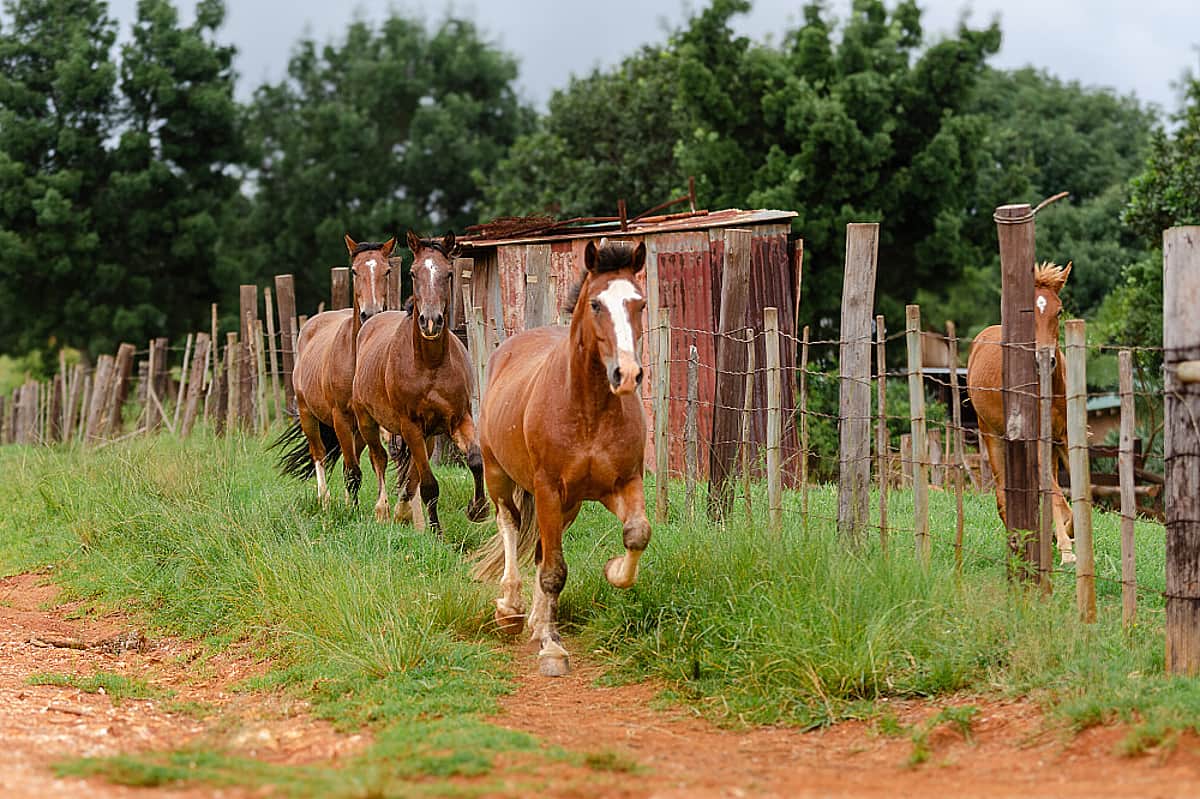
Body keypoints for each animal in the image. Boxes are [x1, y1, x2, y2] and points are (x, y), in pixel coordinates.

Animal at [272, 235, 394, 506]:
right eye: (354, 271)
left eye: (387, 271)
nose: (370, 313)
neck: (355, 356)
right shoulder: (340, 417)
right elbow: (351, 470)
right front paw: (349, 510)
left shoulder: (364, 422)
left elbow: (356, 467)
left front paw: (353, 506)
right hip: (308, 414)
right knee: (318, 453)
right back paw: (324, 500)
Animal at [352, 230, 489, 529]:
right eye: (413, 273)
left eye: (448, 273)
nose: (430, 321)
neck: (430, 364)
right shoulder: (410, 425)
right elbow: (429, 485)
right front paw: (436, 533)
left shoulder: (459, 418)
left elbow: (475, 459)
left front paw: (478, 509)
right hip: (368, 421)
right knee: (379, 458)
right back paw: (384, 510)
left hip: (426, 435)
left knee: (411, 470)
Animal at [472, 238, 650, 678]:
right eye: (596, 304)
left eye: (639, 303)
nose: (627, 374)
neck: (588, 411)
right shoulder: (548, 488)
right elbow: (554, 571)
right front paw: (553, 650)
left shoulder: (622, 484)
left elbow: (637, 534)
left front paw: (614, 570)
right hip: (500, 477)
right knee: (510, 525)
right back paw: (510, 609)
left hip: (565, 506)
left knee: (538, 550)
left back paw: (536, 621)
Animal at [966, 261, 1075, 564]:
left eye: (1059, 310)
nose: (1045, 361)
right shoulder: (1036, 441)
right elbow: (1055, 494)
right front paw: (1067, 552)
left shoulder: (1064, 439)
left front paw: (1063, 537)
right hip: (991, 434)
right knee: (1002, 497)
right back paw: (1016, 546)